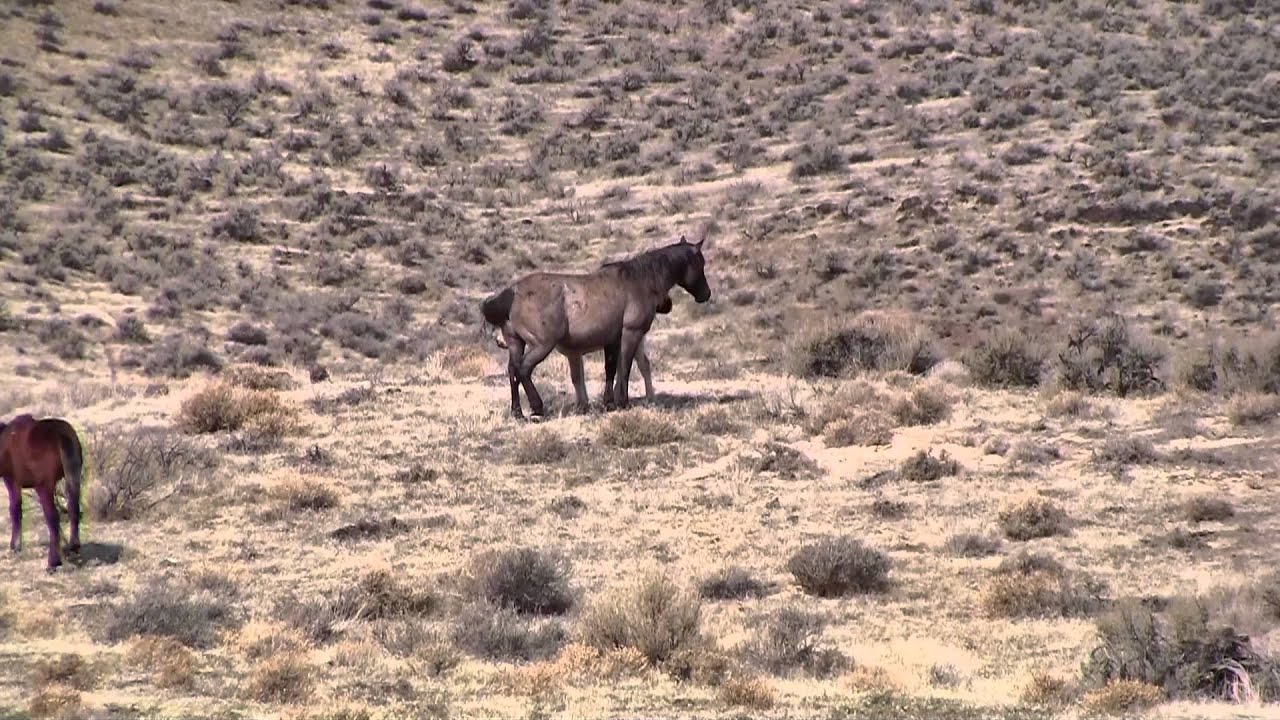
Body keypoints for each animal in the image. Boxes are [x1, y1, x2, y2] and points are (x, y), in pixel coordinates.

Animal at [0, 414, 84, 573]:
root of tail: (60, 435)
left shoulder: (12, 481)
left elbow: (15, 511)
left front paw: (15, 546)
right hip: (73, 478)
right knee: (73, 509)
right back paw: (73, 548)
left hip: (44, 487)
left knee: (53, 519)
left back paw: (53, 562)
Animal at [480, 236, 712, 419]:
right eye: (700, 264)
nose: (706, 294)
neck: (640, 280)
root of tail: (512, 293)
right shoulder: (631, 334)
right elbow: (625, 367)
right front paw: (622, 402)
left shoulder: (612, 340)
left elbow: (611, 369)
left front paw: (609, 402)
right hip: (541, 345)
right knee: (524, 369)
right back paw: (538, 408)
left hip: (515, 343)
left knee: (513, 371)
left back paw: (517, 412)